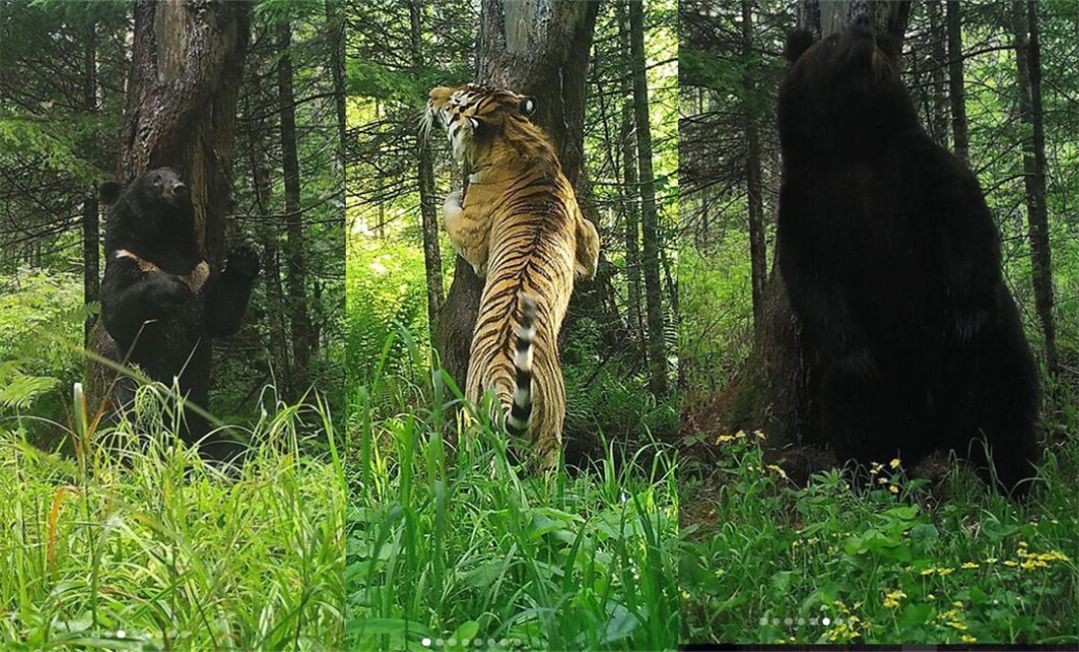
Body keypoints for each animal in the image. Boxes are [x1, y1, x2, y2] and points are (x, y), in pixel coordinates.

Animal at [98, 167, 259, 461]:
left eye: (178, 175)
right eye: (155, 180)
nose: (179, 189)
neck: (165, 242)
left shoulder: (199, 271)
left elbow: (220, 316)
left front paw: (244, 258)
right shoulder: (126, 260)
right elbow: (118, 313)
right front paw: (169, 288)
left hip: (202, 414)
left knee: (218, 443)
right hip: (139, 399)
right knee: (135, 435)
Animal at [775, 15, 1041, 495]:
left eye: (881, 45)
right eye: (832, 38)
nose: (863, 23)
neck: (854, 146)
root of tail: (936, 433)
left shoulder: (919, 169)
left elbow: (965, 223)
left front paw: (965, 314)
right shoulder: (810, 202)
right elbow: (811, 278)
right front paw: (852, 350)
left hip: (989, 353)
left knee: (1003, 412)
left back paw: (1016, 484)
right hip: (881, 384)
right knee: (862, 423)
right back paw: (874, 482)